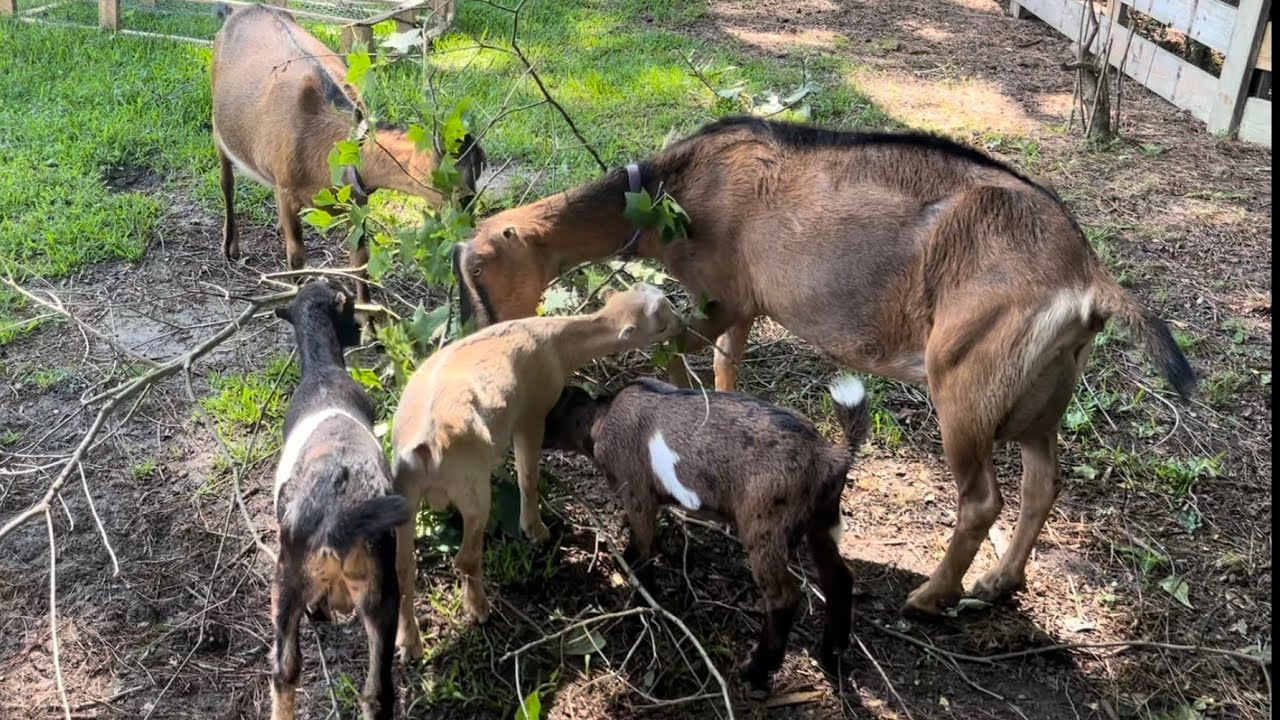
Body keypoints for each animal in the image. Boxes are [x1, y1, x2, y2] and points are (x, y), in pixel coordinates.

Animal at [211, 4, 486, 307]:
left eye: (478, 171)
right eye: (455, 183)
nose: (468, 227)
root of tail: (240, 10)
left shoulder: (357, 196)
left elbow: (360, 261)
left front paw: (367, 315)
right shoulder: (286, 188)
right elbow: (297, 258)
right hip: (217, 127)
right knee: (226, 181)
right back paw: (229, 247)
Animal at [270, 280, 410, 720]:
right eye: (348, 306)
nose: (364, 332)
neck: (321, 373)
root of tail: (335, 521)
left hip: (290, 580)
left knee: (285, 669)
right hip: (378, 589)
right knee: (376, 691)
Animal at [388, 284, 683, 660]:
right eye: (660, 323)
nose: (682, 324)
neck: (557, 343)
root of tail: (425, 444)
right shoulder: (530, 417)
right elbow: (527, 477)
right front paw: (536, 530)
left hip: (404, 494)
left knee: (402, 569)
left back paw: (409, 644)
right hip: (470, 485)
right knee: (466, 557)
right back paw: (480, 611)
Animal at [451, 116, 1197, 617]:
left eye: (480, 273)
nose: (481, 342)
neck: (674, 189)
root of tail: (1087, 277)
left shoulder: (721, 297)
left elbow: (680, 347)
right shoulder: (742, 309)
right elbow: (724, 370)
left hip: (964, 381)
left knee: (982, 497)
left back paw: (930, 596)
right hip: (1041, 397)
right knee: (1044, 484)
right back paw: (997, 582)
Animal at [541, 375, 871, 693]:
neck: (601, 417)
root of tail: (830, 455)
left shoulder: (637, 493)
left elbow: (645, 549)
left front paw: (645, 603)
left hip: (766, 525)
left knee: (783, 598)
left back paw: (755, 671)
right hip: (821, 522)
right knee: (838, 579)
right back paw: (831, 653)